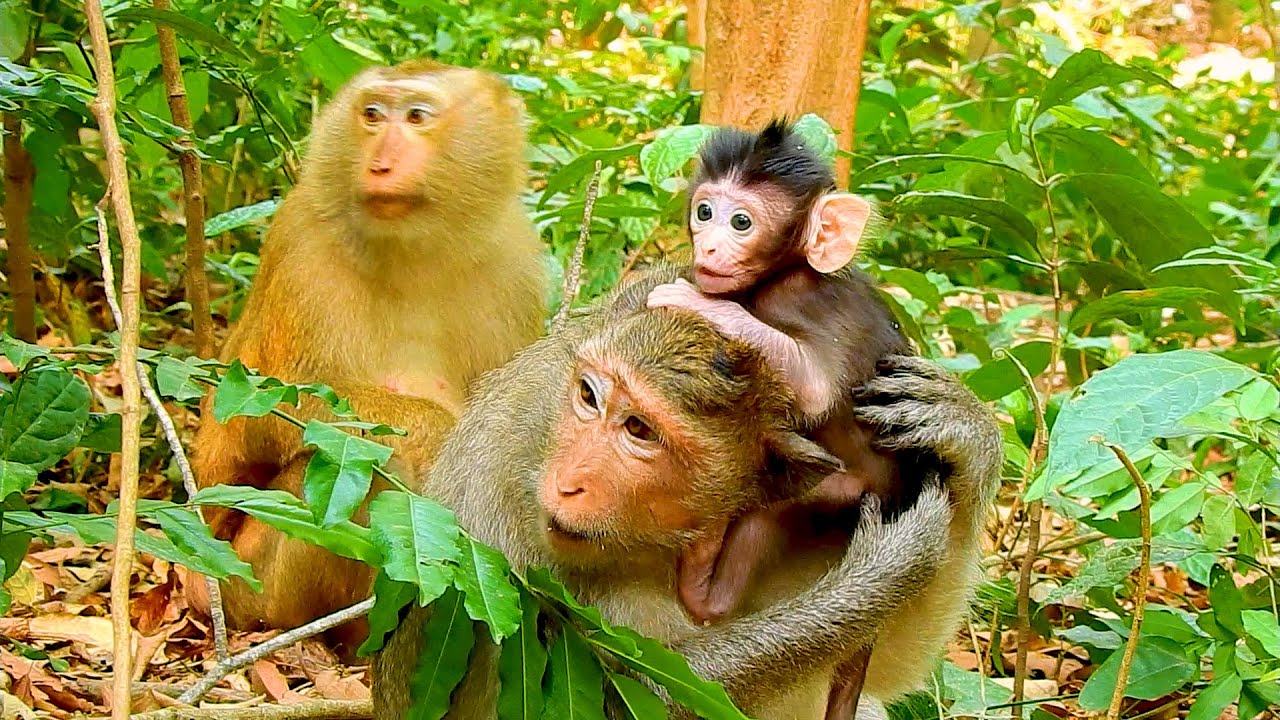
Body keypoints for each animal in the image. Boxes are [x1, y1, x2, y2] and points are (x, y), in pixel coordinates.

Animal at [185, 59, 548, 655]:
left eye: (417, 117)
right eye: (373, 114)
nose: (380, 162)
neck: (417, 253)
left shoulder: (517, 266)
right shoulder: (302, 246)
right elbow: (264, 412)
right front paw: (438, 434)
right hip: (254, 576)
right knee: (367, 462)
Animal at [371, 262, 1003, 719]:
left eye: (639, 430)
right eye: (589, 397)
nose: (567, 484)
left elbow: (888, 669)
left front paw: (963, 430)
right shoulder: (510, 509)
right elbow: (633, 692)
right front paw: (891, 566)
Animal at [646, 120, 909, 718]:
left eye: (741, 222)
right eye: (704, 211)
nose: (708, 245)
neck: (786, 273)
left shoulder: (812, 304)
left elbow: (812, 388)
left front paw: (694, 299)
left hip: (848, 492)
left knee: (771, 507)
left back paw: (706, 586)